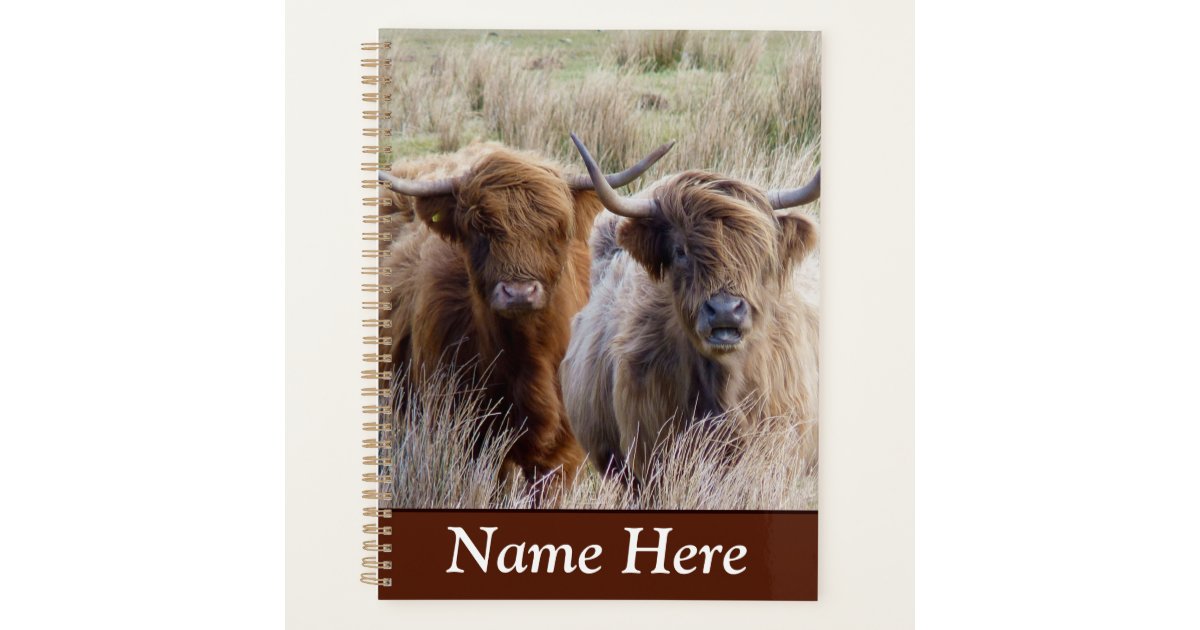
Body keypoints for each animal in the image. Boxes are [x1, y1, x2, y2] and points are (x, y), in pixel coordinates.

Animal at [377, 139, 675, 485]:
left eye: (557, 229)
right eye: (479, 230)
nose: (519, 292)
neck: (529, 359)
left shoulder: (560, 455)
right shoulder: (469, 440)